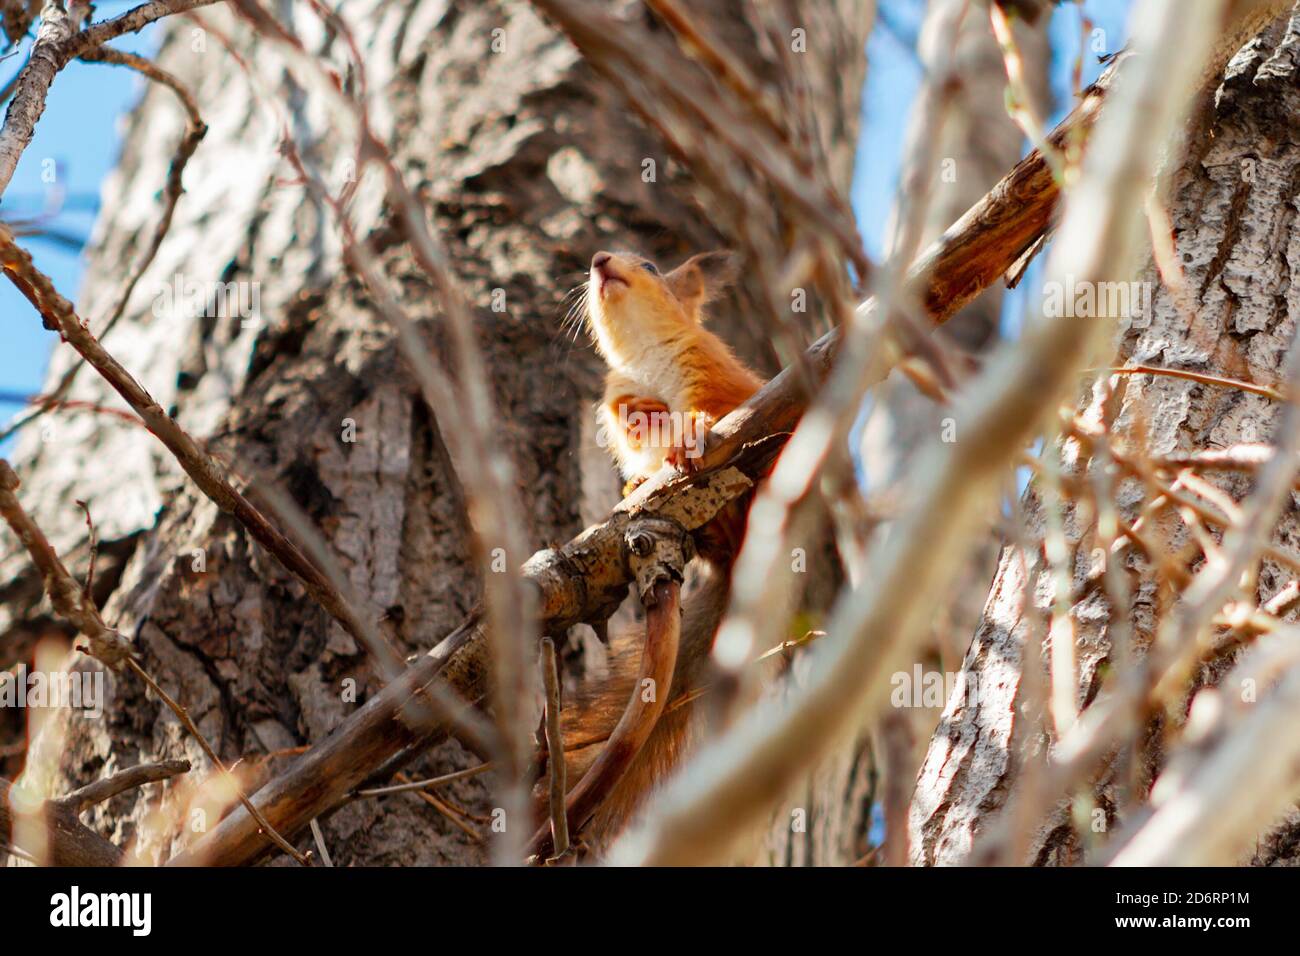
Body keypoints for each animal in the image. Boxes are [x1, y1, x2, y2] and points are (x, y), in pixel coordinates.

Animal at [544, 248, 769, 852]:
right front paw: (639, 461)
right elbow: (634, 425)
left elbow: (718, 403)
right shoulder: (618, 398)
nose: (600, 260)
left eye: (647, 263)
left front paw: (695, 428)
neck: (643, 354)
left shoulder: (713, 370)